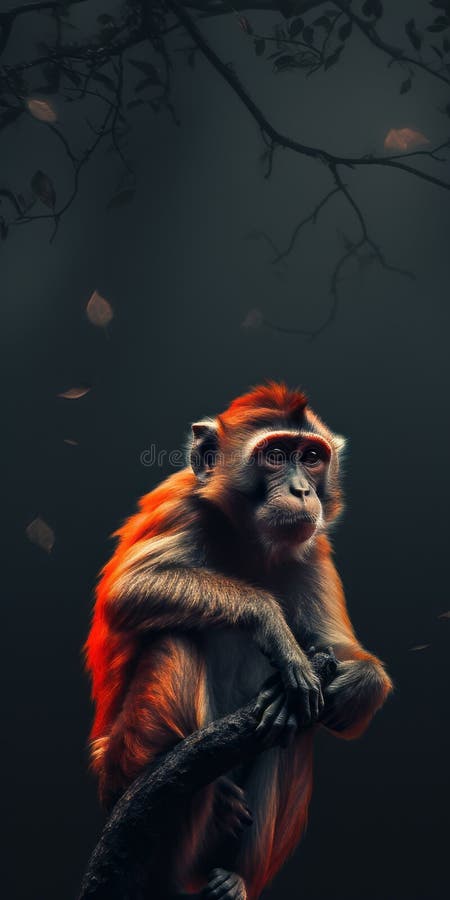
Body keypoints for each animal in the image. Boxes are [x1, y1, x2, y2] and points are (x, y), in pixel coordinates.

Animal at [85, 382, 392, 900]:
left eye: (312, 457)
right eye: (275, 455)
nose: (302, 491)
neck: (251, 541)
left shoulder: (313, 549)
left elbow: (340, 657)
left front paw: (356, 684)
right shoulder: (181, 507)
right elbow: (126, 592)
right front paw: (271, 622)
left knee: (298, 729)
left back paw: (235, 877)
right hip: (121, 767)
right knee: (174, 640)